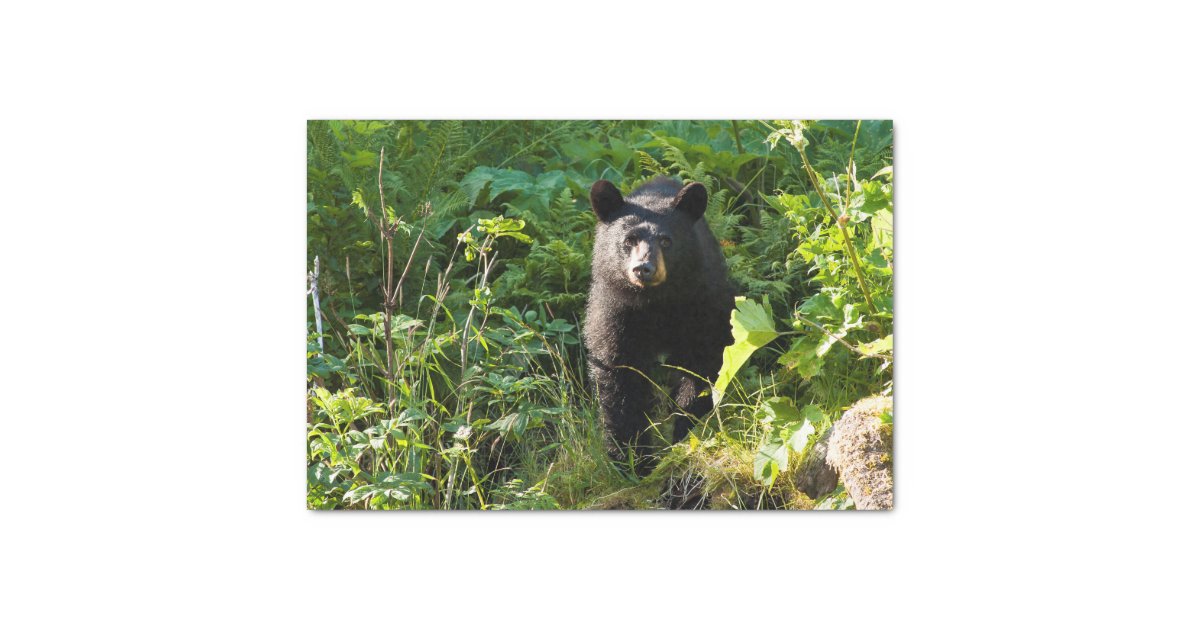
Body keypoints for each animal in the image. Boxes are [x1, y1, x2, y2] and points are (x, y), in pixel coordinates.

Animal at [583, 176, 735, 473]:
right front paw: (633, 460)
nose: (643, 268)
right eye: (629, 240)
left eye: (666, 240)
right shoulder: (615, 312)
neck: (656, 303)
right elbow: (620, 375)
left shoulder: (702, 303)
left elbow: (702, 363)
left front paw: (685, 431)